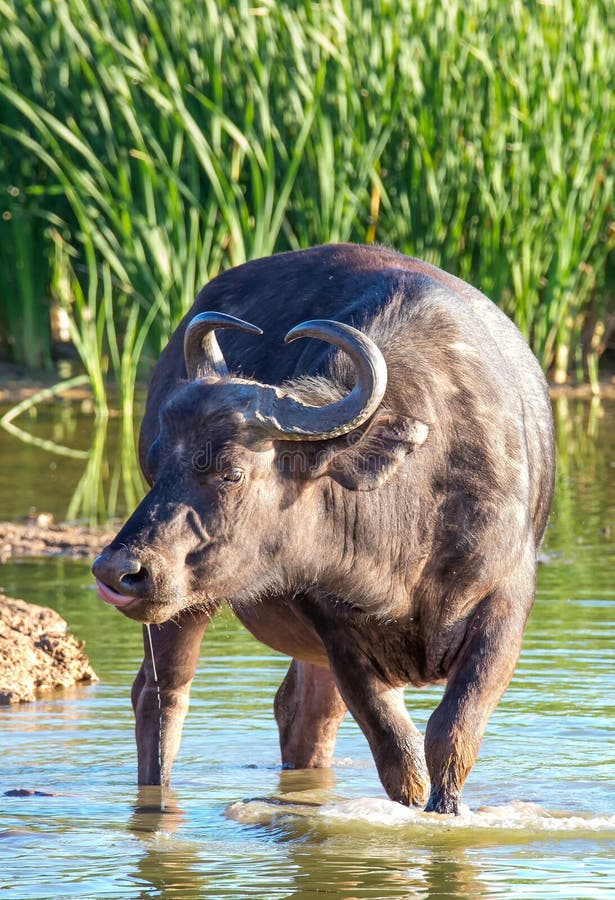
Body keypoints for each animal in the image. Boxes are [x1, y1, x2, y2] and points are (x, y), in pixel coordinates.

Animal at [93, 243, 554, 814]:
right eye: (157, 463)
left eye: (231, 471)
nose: (115, 571)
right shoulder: (337, 629)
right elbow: (400, 755)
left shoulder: (505, 608)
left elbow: (451, 734)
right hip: (179, 606)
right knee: (162, 696)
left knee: (302, 713)